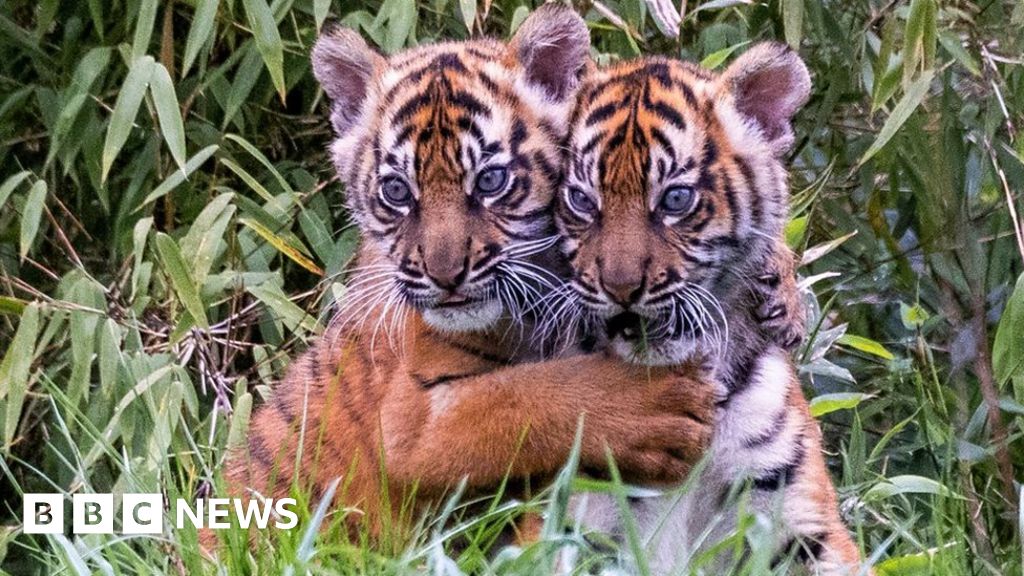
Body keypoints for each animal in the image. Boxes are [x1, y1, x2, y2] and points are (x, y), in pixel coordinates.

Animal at [214, 5, 721, 546]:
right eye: (396, 190)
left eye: (491, 180)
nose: (445, 274)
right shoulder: (411, 423)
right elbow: (516, 398)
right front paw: (660, 404)